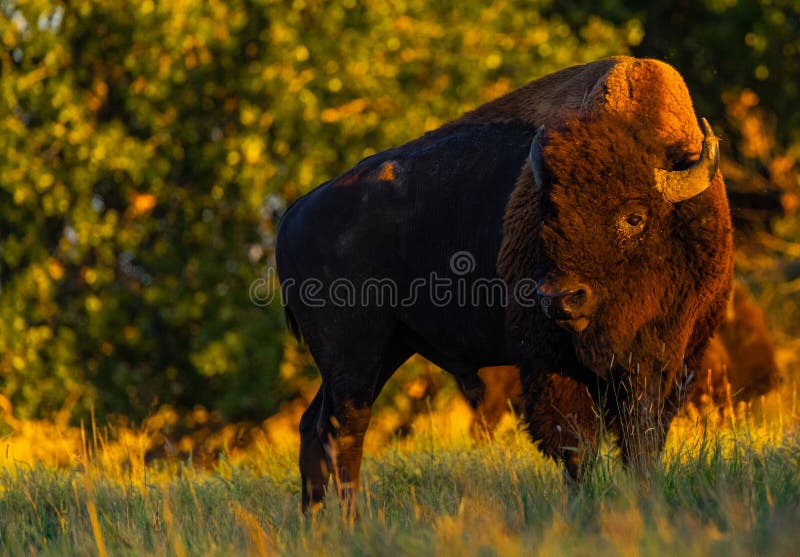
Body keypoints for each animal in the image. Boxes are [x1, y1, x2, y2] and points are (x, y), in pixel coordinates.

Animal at [276, 57, 733, 515]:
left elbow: (643, 438)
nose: (561, 298)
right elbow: (576, 444)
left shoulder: (668, 361)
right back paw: (352, 519)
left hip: (383, 349)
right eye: (549, 215)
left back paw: (315, 519)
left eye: (634, 217)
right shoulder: (551, 360)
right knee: (346, 429)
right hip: (354, 351)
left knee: (316, 427)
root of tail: (295, 212)